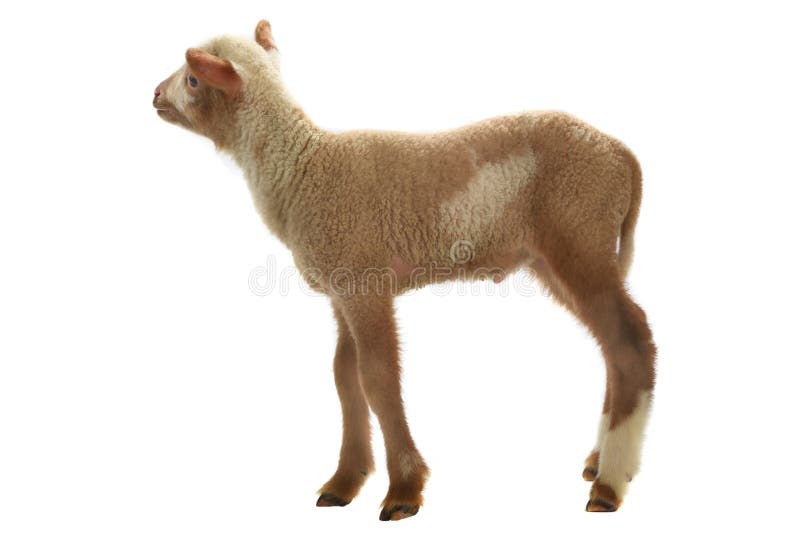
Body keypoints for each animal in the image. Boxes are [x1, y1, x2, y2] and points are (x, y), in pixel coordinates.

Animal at [153, 20, 656, 520]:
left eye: (193, 79)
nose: (155, 94)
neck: (303, 168)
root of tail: (622, 154)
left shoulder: (365, 282)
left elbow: (378, 378)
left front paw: (403, 490)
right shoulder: (343, 287)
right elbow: (344, 375)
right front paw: (343, 482)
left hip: (580, 232)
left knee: (630, 339)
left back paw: (609, 484)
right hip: (558, 253)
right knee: (610, 345)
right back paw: (601, 462)